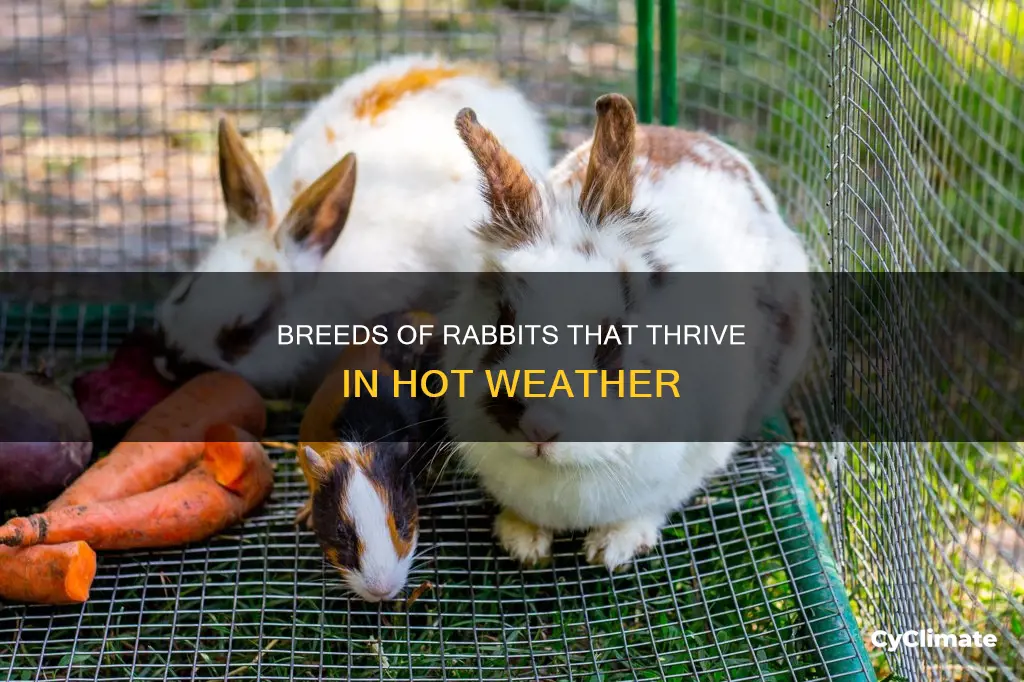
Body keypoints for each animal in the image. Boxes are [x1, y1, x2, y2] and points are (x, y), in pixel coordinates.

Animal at [436, 94, 813, 572]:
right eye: (502, 325)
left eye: (611, 342)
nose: (537, 427)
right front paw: (523, 541)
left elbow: (650, 508)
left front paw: (612, 549)